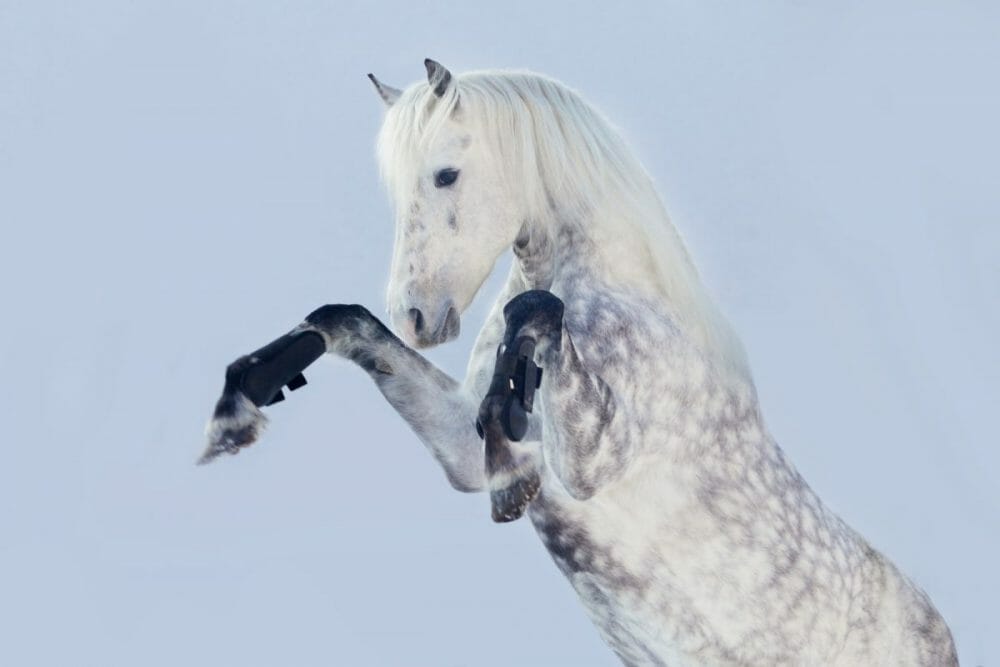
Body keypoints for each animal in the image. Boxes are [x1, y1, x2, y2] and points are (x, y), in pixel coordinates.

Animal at [202, 59, 957, 666]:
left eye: (446, 173)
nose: (416, 315)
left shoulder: (595, 460)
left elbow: (534, 308)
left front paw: (511, 467)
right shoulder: (458, 445)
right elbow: (342, 322)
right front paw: (237, 410)